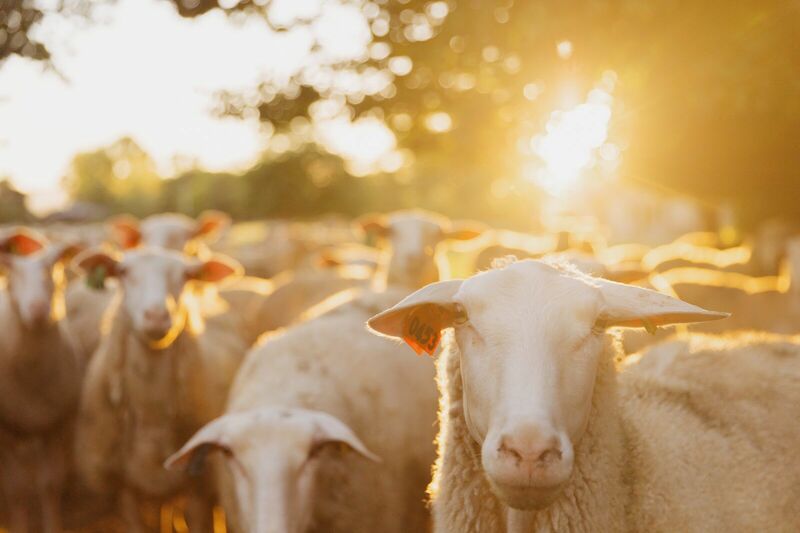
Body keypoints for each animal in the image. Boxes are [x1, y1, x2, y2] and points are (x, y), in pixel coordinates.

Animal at [0, 228, 84, 533]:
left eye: (53, 271)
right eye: (12, 274)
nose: (37, 308)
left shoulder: (56, 425)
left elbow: (49, 485)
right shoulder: (7, 433)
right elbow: (16, 489)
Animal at [72, 247, 245, 532]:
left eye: (185, 275)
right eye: (123, 272)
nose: (156, 316)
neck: (151, 413)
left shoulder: (198, 486)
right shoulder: (124, 488)